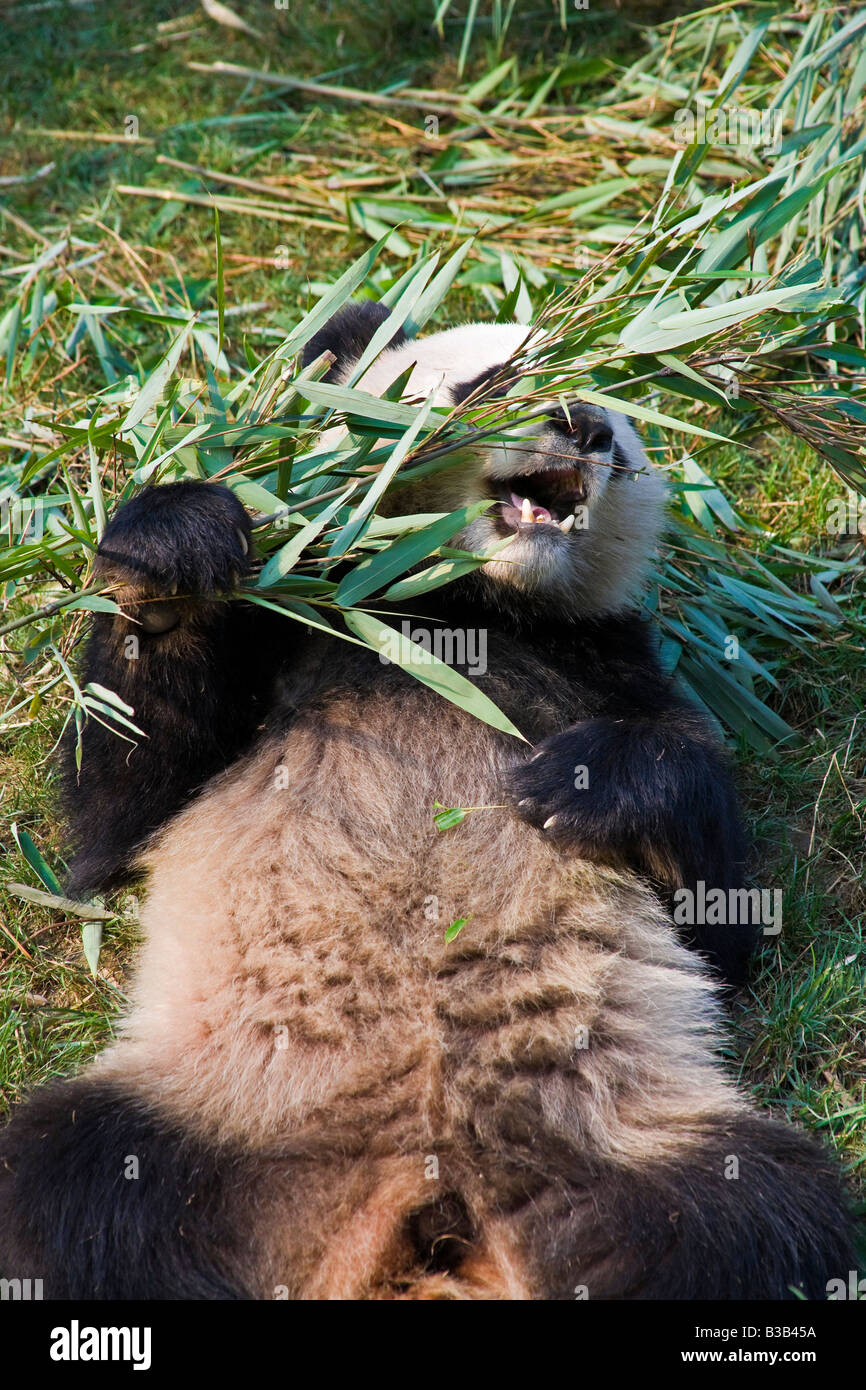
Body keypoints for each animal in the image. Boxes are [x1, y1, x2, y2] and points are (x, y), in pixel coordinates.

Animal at [0, 301, 855, 1300]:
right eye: (492, 382)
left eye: (621, 428)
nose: (584, 426)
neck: (463, 608)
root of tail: (424, 1196)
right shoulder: (301, 623)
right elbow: (118, 816)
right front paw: (173, 555)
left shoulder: (607, 661)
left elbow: (723, 919)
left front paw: (577, 786)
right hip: (219, 1112)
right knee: (76, 1185)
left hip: (634, 1136)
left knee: (753, 1215)